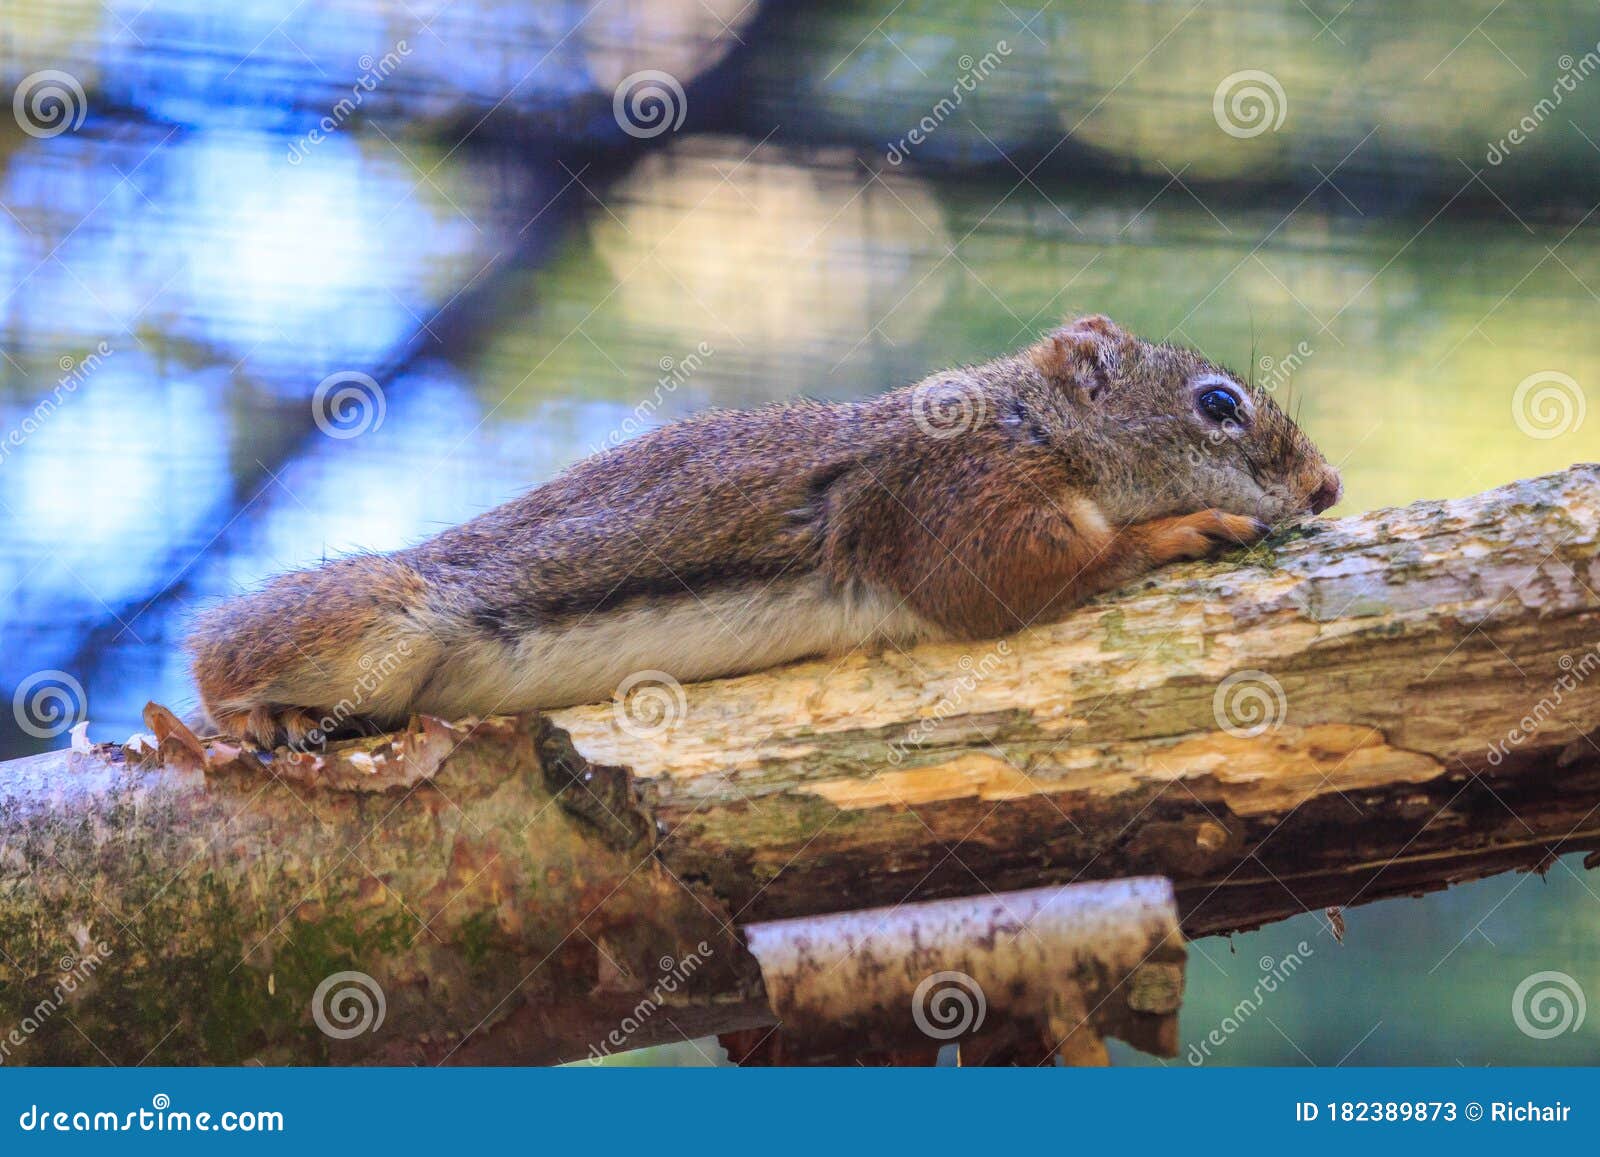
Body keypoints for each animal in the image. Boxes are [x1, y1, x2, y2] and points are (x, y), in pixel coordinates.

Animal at [189, 315, 1341, 748]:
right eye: (1219, 403)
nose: (1328, 486)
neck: (1033, 419)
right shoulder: (952, 490)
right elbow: (1005, 583)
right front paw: (1181, 525)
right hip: (382, 615)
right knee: (216, 659)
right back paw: (256, 715)